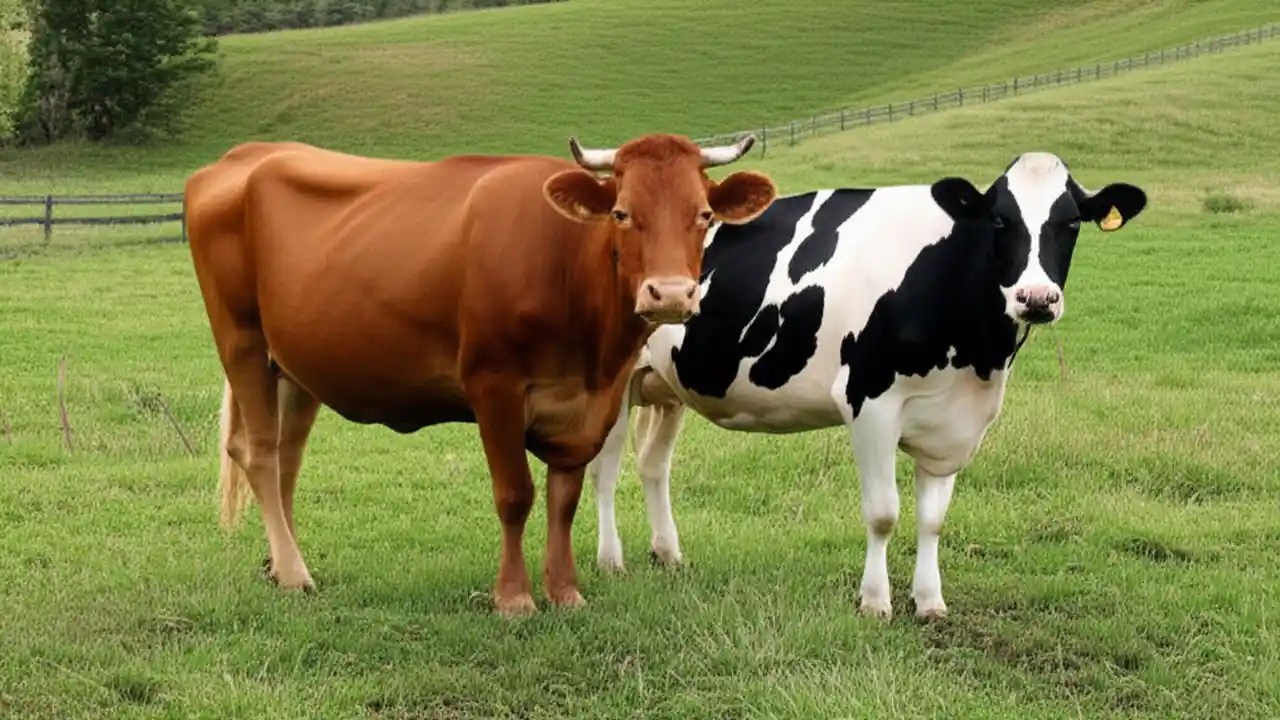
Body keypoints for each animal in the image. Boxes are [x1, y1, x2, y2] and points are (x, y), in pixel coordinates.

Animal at [182, 133, 777, 616]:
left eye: (704, 215)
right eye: (622, 213)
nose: (670, 294)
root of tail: (244, 155)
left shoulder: (593, 402)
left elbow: (565, 498)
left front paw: (564, 591)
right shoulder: (494, 386)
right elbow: (515, 495)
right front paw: (513, 598)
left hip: (298, 363)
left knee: (288, 456)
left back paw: (276, 563)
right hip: (240, 339)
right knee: (260, 451)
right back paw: (293, 573)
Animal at [588, 152, 1147, 620]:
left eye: (1071, 222)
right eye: (999, 220)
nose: (1037, 297)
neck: (975, 356)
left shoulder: (952, 419)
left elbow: (933, 519)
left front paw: (930, 602)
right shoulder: (870, 402)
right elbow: (883, 514)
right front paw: (876, 602)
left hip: (667, 385)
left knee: (652, 464)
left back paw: (668, 553)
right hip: (613, 382)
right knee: (606, 470)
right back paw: (611, 560)